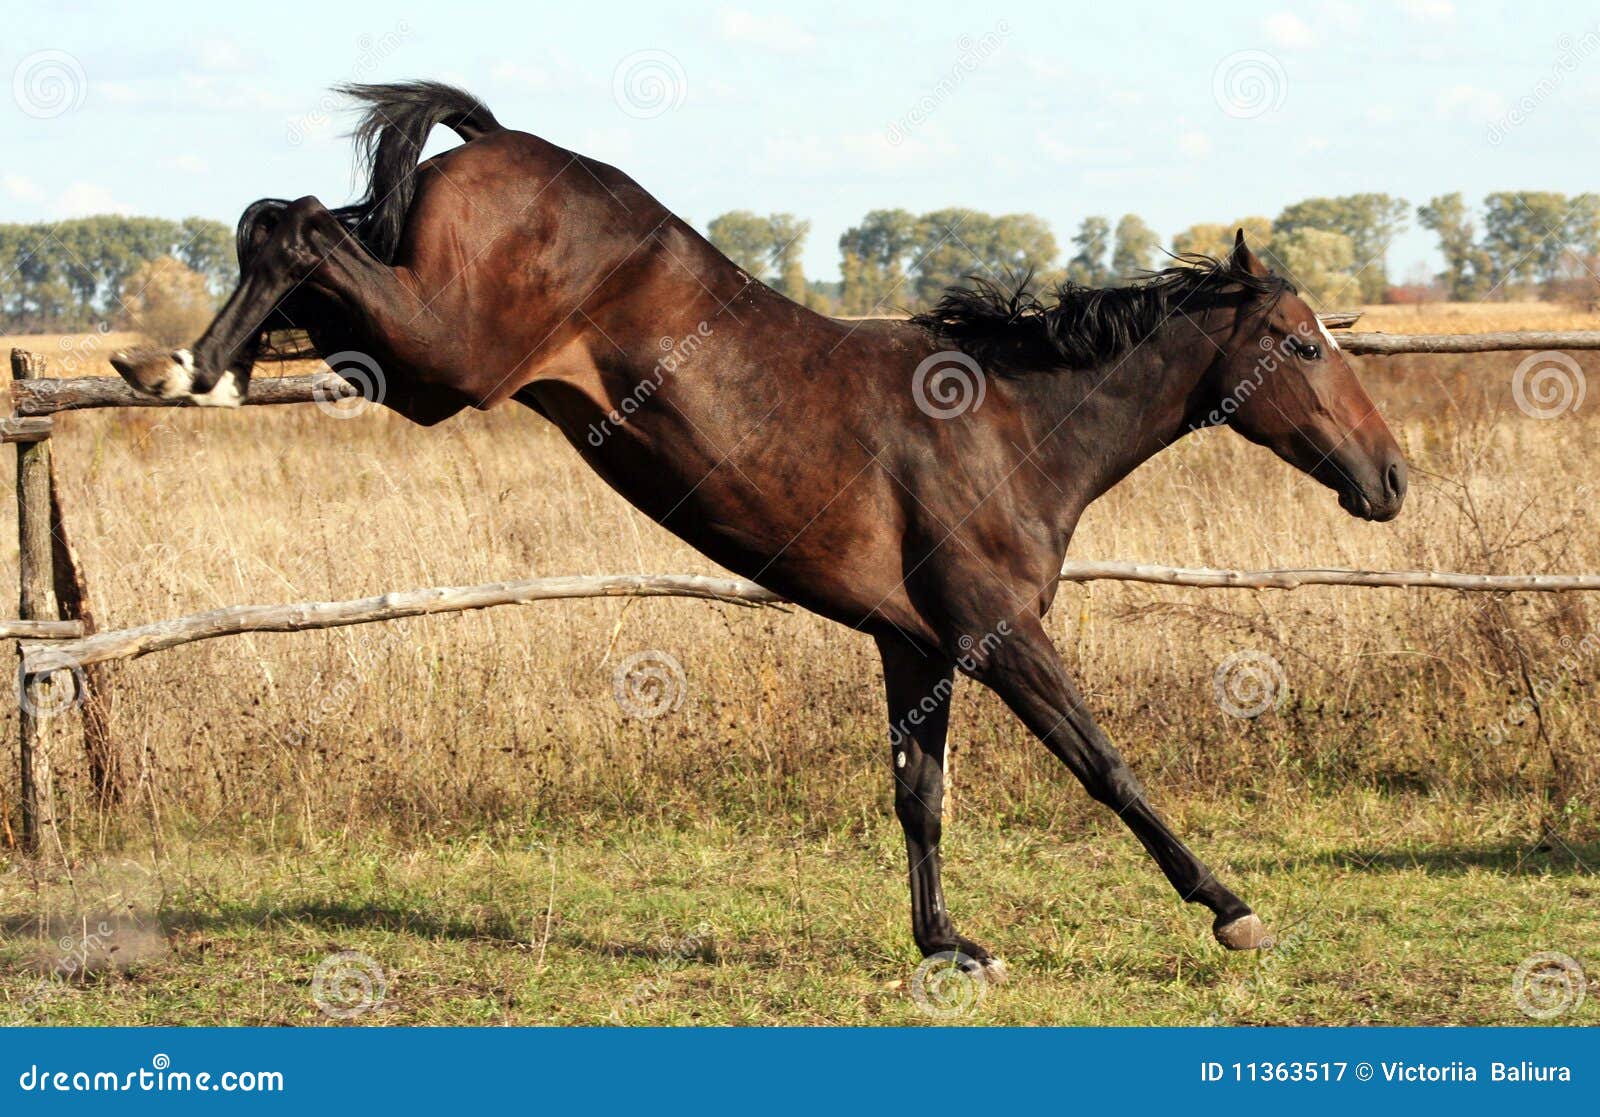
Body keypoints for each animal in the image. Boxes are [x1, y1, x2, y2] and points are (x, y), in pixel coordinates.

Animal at [109, 81, 1407, 980]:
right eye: (1302, 345)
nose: (1389, 478)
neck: (1010, 424)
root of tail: (491, 140)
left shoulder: (915, 646)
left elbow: (920, 795)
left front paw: (949, 944)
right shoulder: (998, 633)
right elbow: (1105, 764)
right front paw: (1232, 909)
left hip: (415, 372)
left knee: (304, 255)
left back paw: (181, 364)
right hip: (451, 356)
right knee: (295, 226)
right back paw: (180, 366)